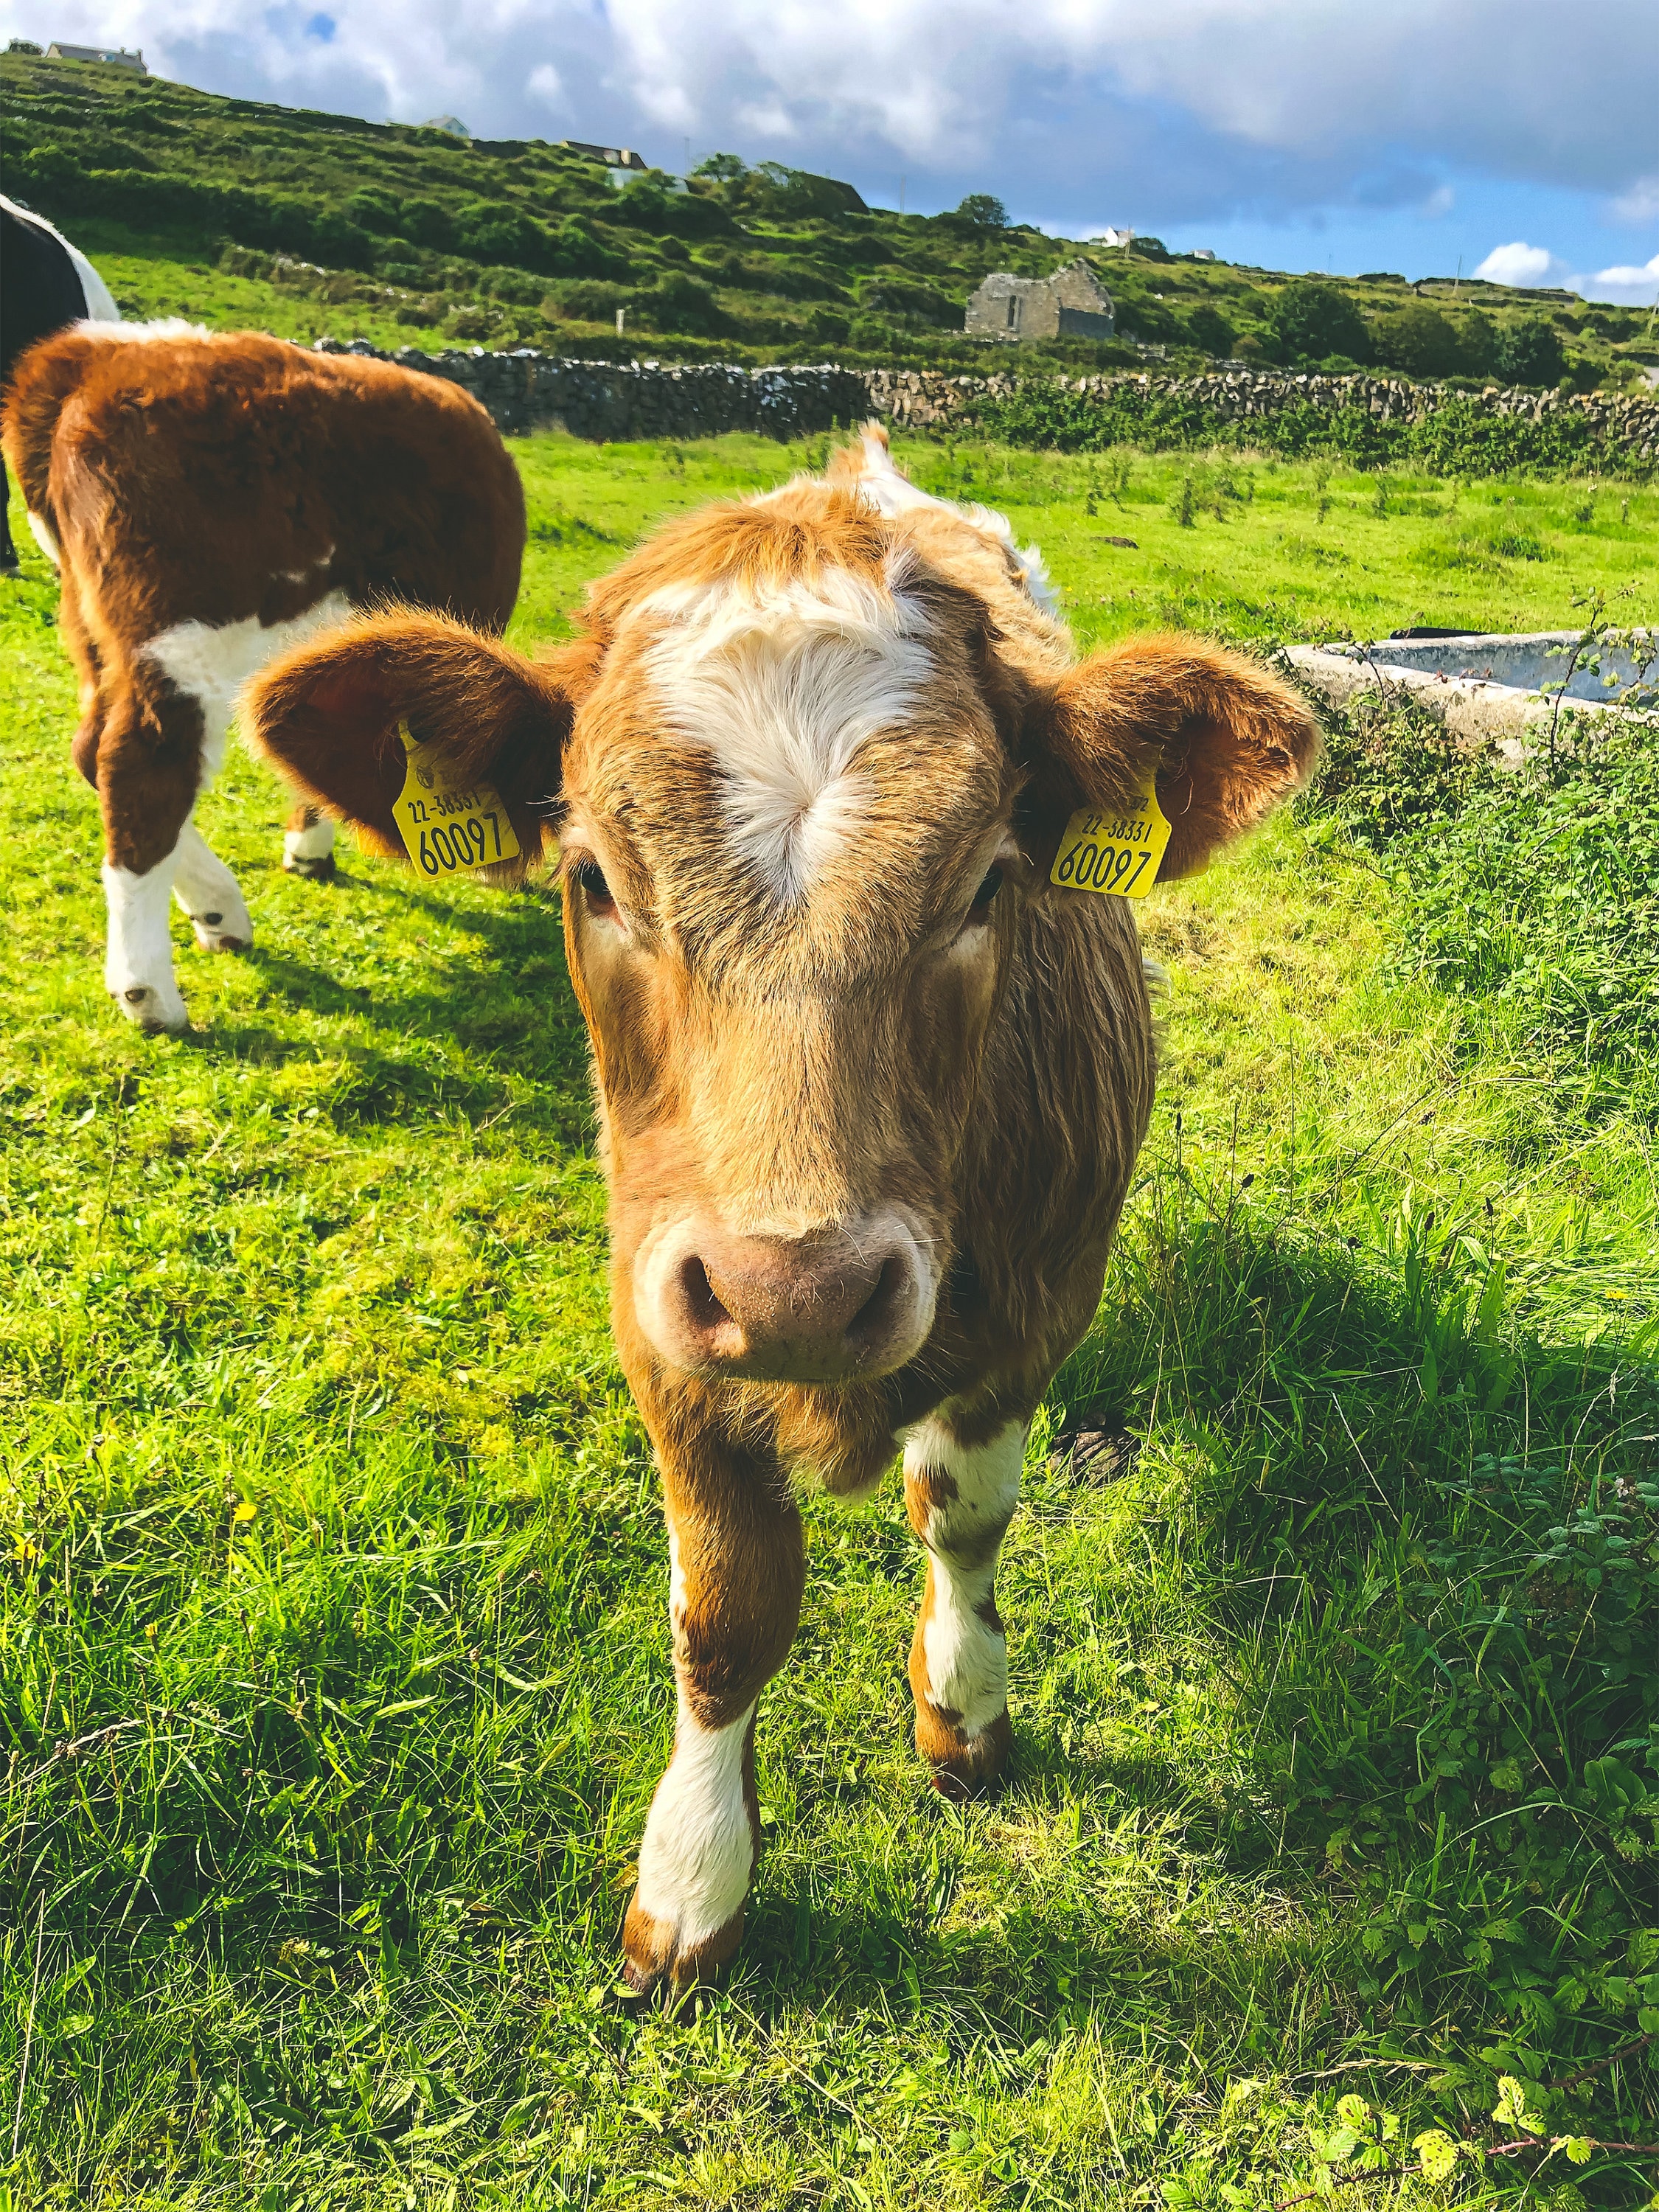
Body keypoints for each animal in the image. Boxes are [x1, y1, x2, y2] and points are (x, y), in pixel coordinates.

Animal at [2, 323, 525, 1031]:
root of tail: (104, 353)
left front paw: (310, 846)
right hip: (182, 636)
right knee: (143, 769)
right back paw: (148, 989)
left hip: (91, 623)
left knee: (91, 752)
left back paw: (218, 907)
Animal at [244, 426, 1319, 1996]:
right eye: (590, 876)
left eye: (988, 882)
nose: (791, 1290)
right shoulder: (662, 1319)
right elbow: (726, 1614)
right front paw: (693, 1882)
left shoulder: (1038, 1312)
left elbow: (965, 1519)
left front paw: (964, 1711)